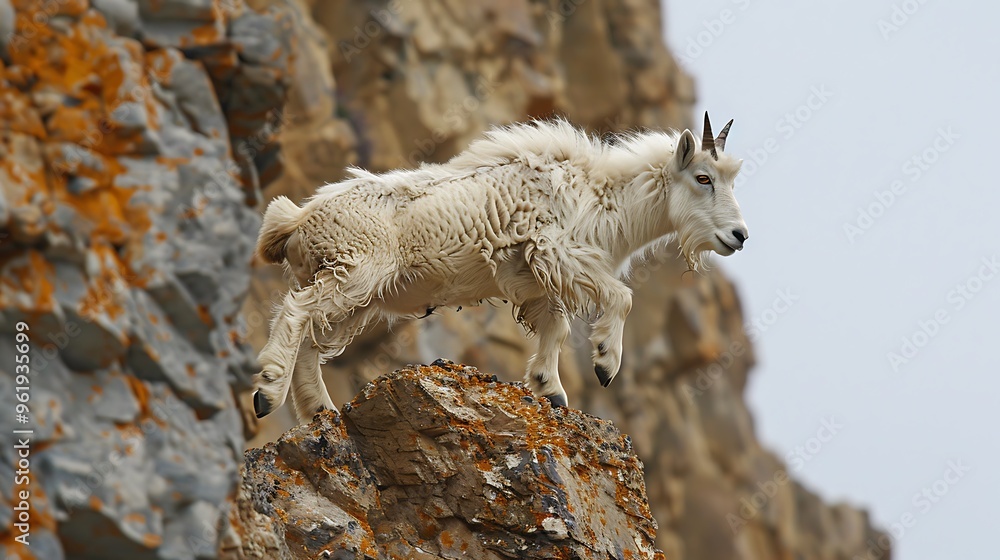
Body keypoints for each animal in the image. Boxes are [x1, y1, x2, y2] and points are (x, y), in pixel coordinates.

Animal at [253, 113, 749, 423]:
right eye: (703, 177)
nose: (739, 235)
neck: (605, 198)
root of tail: (297, 221)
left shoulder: (531, 280)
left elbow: (557, 328)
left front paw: (550, 389)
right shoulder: (556, 253)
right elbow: (620, 297)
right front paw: (605, 362)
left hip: (355, 294)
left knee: (311, 340)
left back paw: (319, 411)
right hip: (355, 271)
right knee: (296, 313)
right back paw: (267, 392)